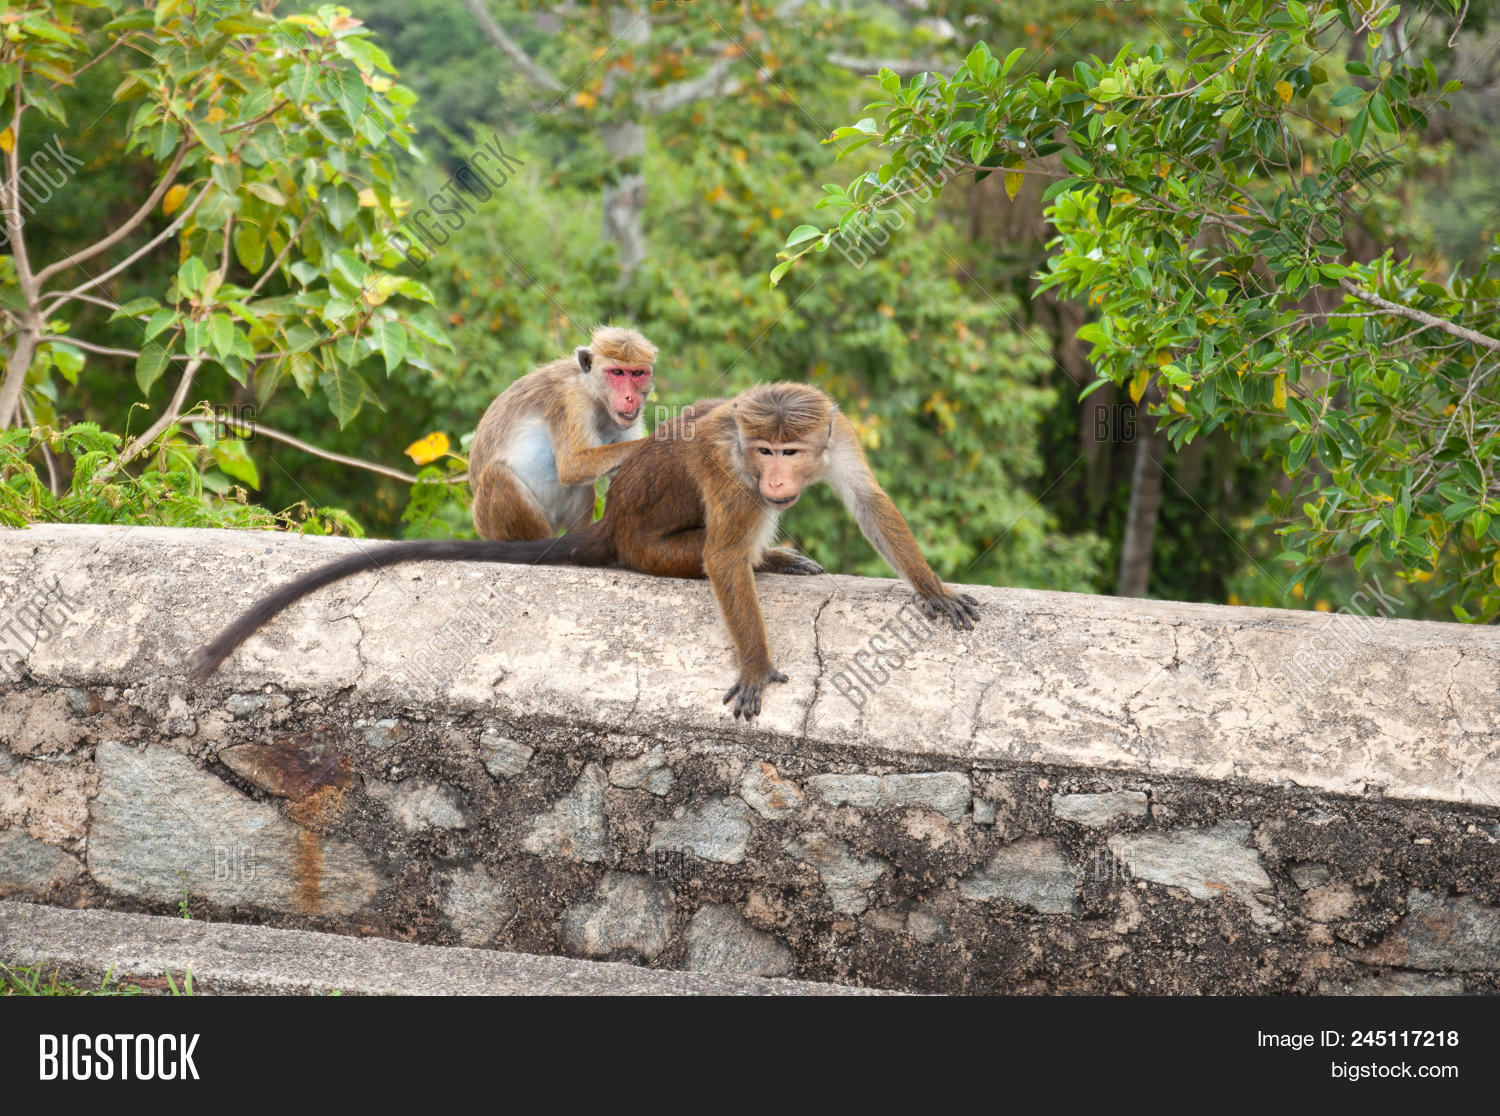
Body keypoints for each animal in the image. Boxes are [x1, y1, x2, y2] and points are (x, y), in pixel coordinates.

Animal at [194, 382, 980, 720]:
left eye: (792, 450)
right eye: (764, 451)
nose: (779, 477)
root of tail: (612, 521)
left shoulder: (835, 434)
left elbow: (869, 502)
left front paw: (932, 590)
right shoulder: (733, 473)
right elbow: (725, 557)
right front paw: (756, 664)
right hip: (646, 547)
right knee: (721, 544)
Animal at [468, 324, 657, 540]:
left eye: (637, 373)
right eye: (617, 372)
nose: (630, 397)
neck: (595, 395)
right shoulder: (571, 399)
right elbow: (573, 465)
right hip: (493, 524)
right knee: (496, 474)